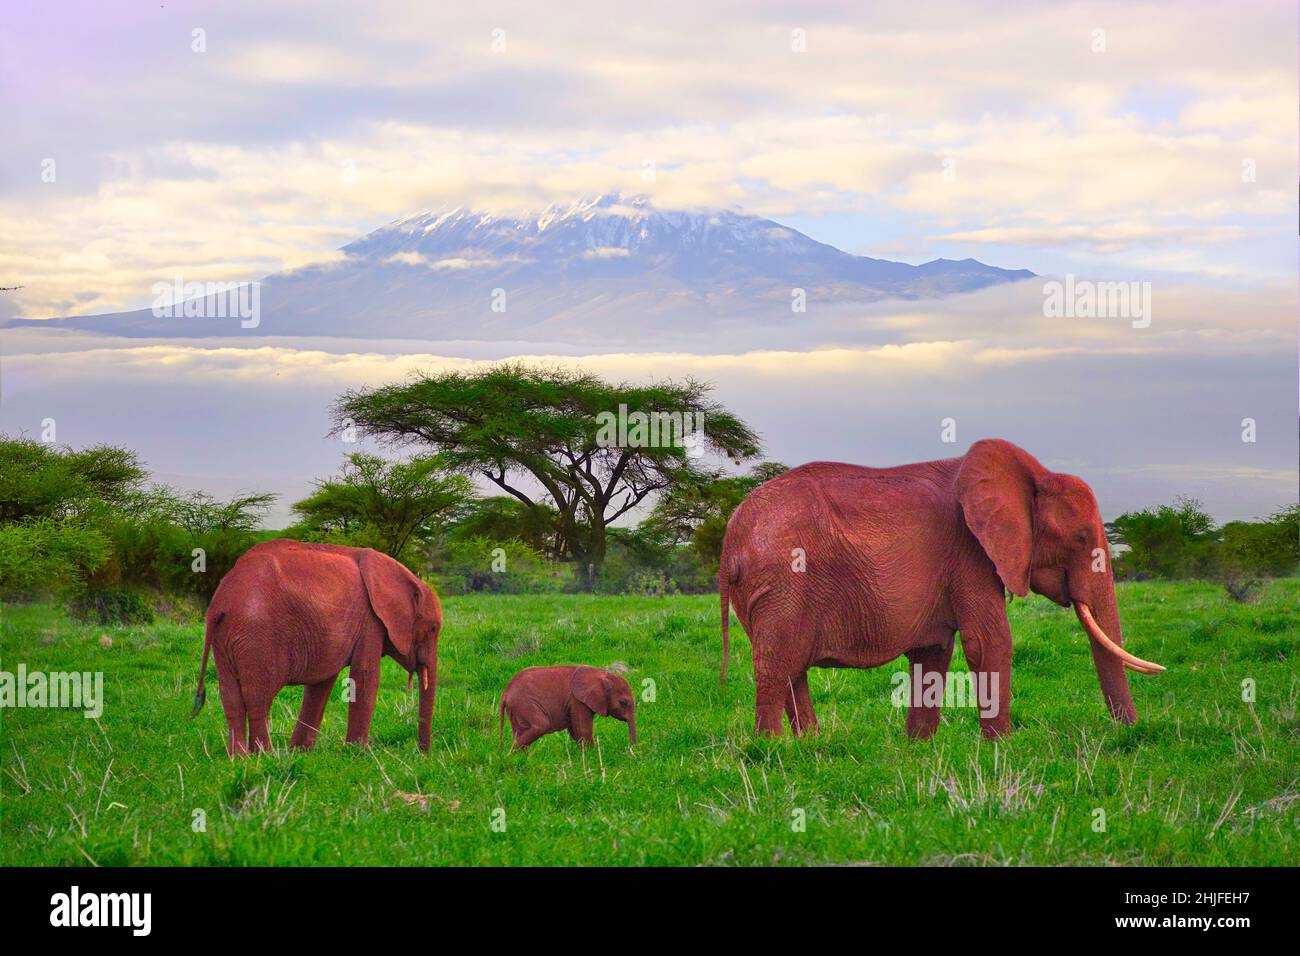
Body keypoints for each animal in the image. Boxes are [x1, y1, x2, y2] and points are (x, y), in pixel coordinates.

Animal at [191, 539, 442, 755]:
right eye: (433, 629)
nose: (423, 753)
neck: (399, 573)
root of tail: (220, 602)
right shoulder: (371, 621)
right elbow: (365, 677)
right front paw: (358, 753)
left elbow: (321, 684)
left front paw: (300, 752)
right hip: (256, 635)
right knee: (258, 697)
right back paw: (265, 755)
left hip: (224, 638)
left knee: (230, 697)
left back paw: (240, 758)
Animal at [499, 666, 637, 750]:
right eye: (623, 703)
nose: (632, 748)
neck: (599, 674)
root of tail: (505, 693)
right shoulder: (577, 700)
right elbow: (583, 729)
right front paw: (591, 755)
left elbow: (574, 730)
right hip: (524, 703)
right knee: (541, 725)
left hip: (516, 708)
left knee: (519, 731)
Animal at [718, 439, 1163, 739]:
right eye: (1080, 538)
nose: (1129, 732)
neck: (1035, 475)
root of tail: (731, 538)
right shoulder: (971, 552)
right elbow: (990, 642)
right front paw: (1001, 747)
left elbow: (932, 651)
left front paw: (917, 746)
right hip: (782, 579)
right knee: (777, 662)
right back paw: (771, 750)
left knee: (791, 666)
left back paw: (810, 745)